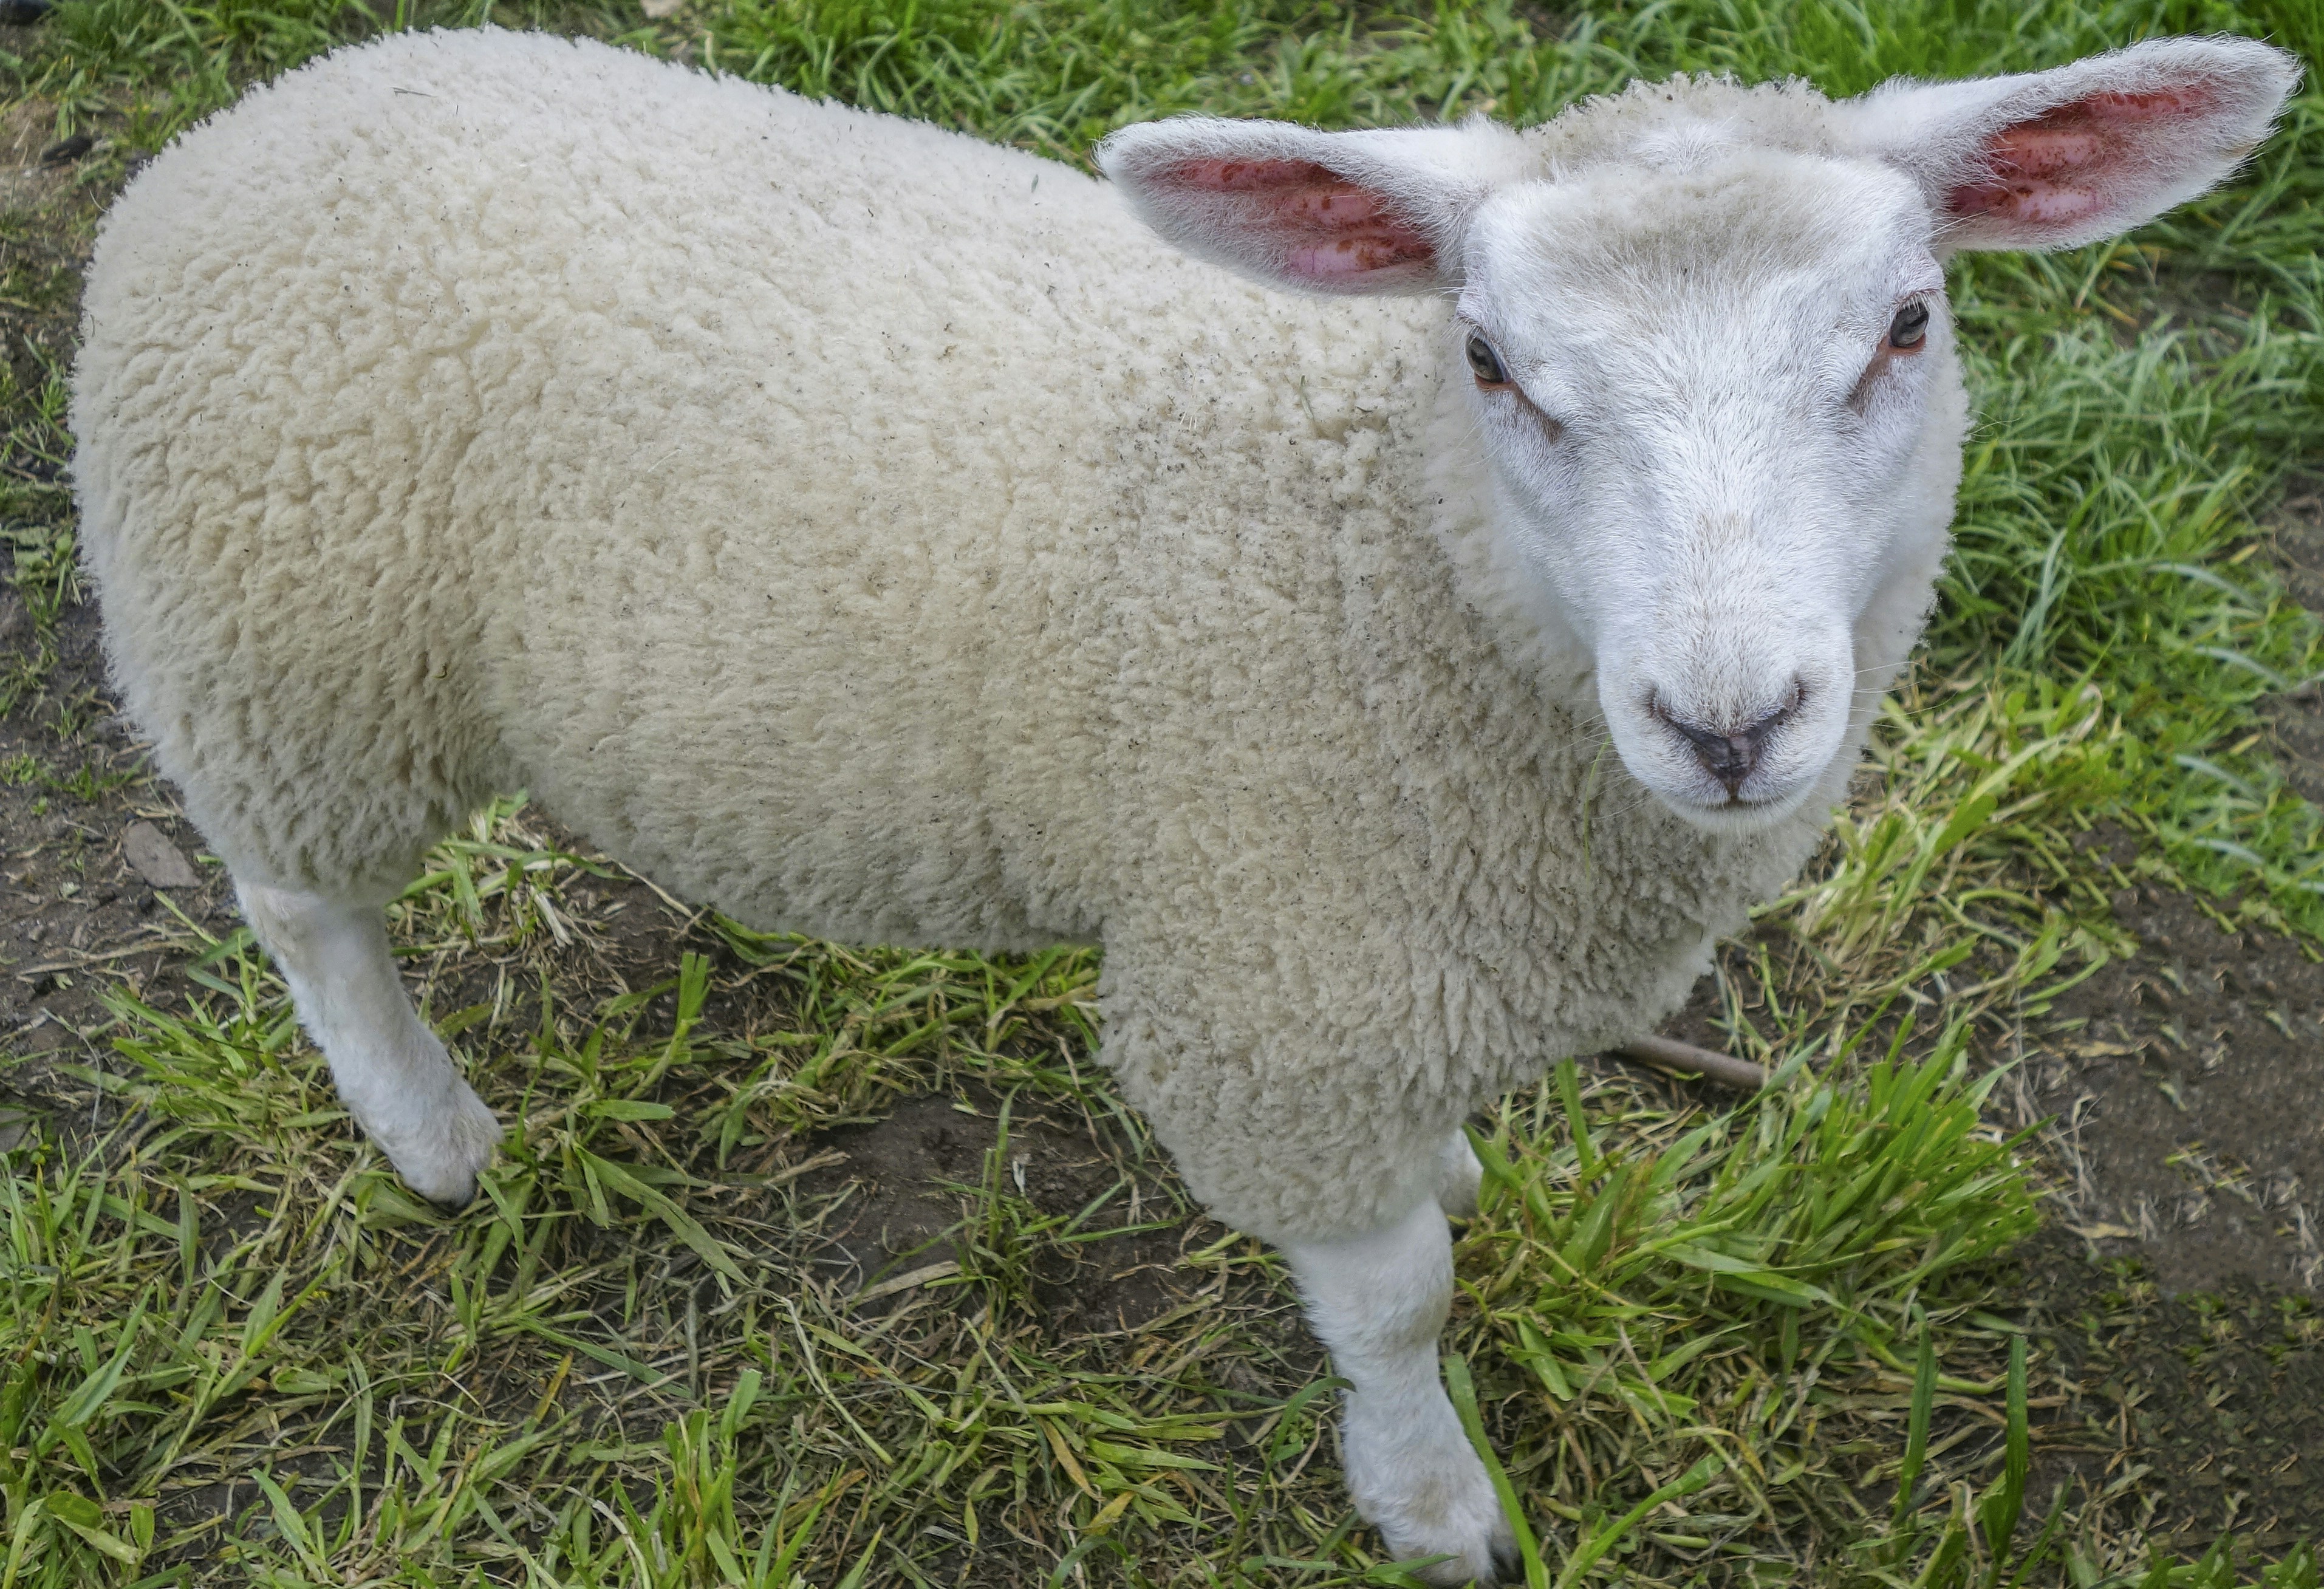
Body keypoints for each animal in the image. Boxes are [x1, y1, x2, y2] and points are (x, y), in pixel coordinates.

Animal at [69, 28, 2294, 1583]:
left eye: (1905, 328)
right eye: (1492, 363)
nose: (1728, 718)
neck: (1391, 557)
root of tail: (260, 117)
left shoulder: (1393, 982)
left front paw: (1459, 1173)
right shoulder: (1272, 1002)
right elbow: (1391, 1306)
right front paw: (1430, 1503)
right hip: (290, 651)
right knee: (301, 904)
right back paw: (427, 1128)